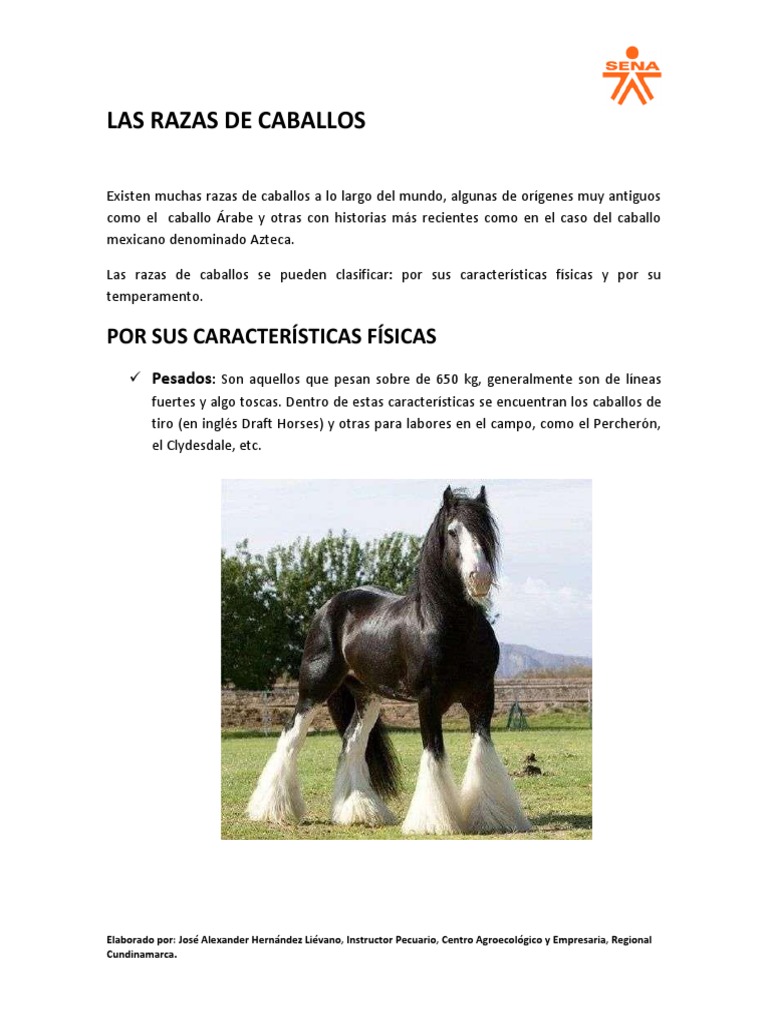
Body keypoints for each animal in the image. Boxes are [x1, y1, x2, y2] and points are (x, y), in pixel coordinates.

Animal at [246, 485, 531, 835]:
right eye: (453, 531)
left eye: (485, 531)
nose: (479, 577)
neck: (447, 626)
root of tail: (329, 606)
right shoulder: (428, 700)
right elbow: (434, 755)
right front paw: (432, 822)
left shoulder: (482, 697)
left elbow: (483, 753)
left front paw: (493, 817)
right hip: (314, 689)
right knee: (291, 737)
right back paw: (272, 810)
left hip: (367, 696)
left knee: (352, 744)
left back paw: (360, 811)